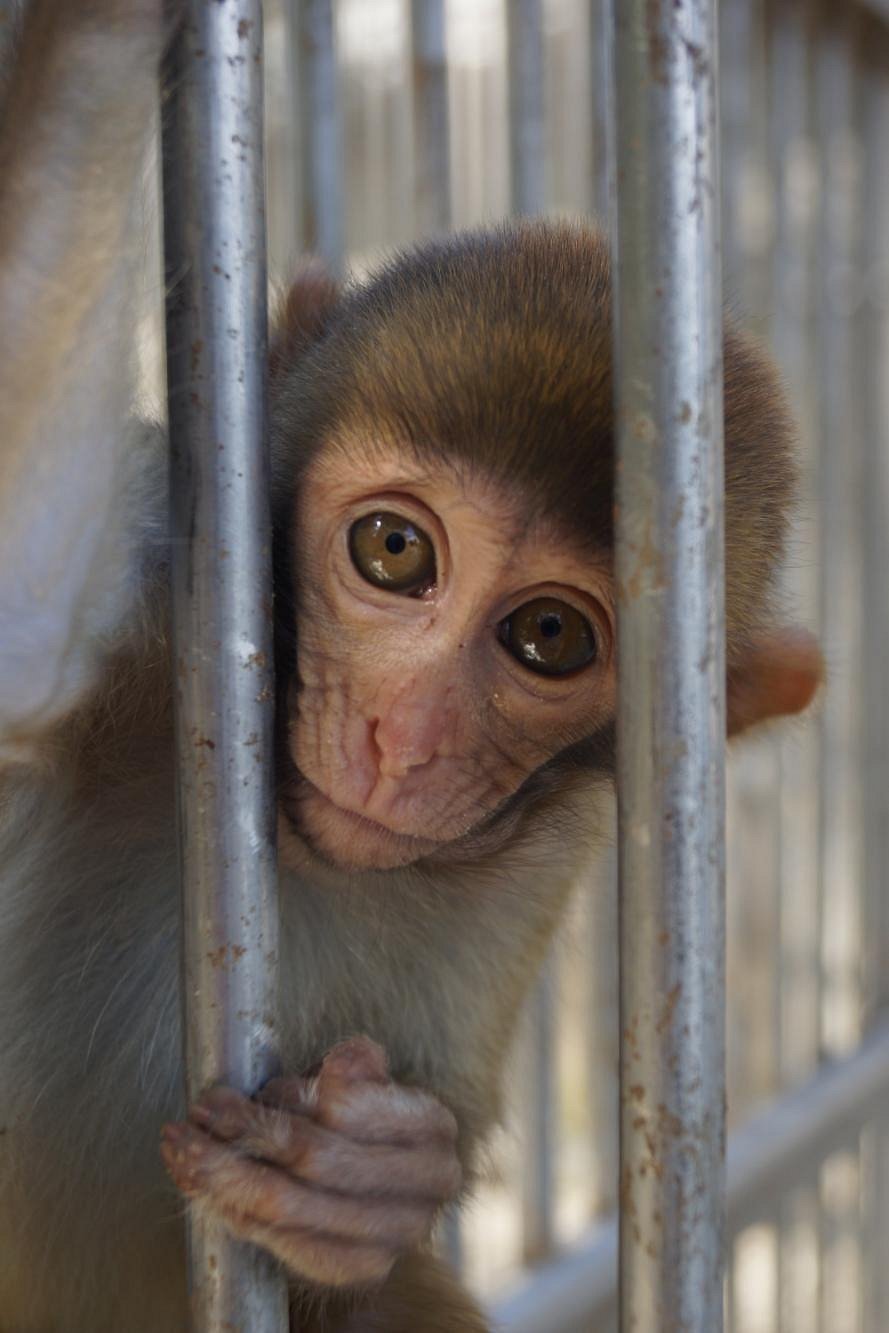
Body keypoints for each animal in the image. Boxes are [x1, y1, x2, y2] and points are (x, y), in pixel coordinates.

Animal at [0, 2, 823, 1331]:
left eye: (549, 636)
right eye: (393, 550)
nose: (405, 737)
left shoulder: (537, 866)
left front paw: (371, 1186)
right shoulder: (161, 611)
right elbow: (25, 608)